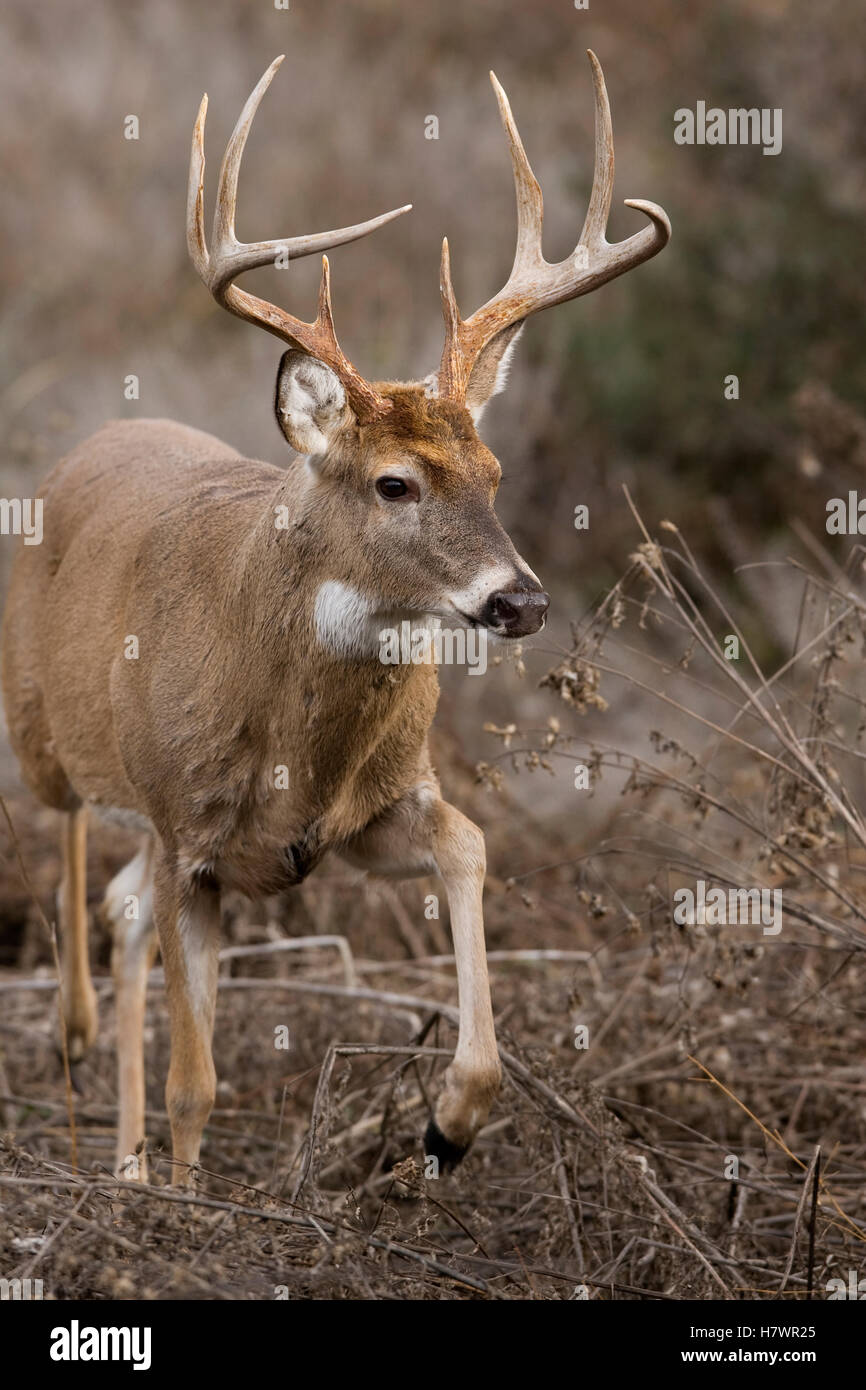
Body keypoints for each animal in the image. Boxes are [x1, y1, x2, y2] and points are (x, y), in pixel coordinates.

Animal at [1, 51, 669, 1184]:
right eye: (395, 482)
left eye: (493, 472)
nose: (521, 599)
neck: (292, 750)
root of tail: (93, 441)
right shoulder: (187, 830)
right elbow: (196, 1080)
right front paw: (189, 1204)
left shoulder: (370, 813)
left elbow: (469, 849)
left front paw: (447, 1125)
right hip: (45, 730)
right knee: (79, 852)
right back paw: (79, 1045)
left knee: (120, 909)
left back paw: (125, 1161)